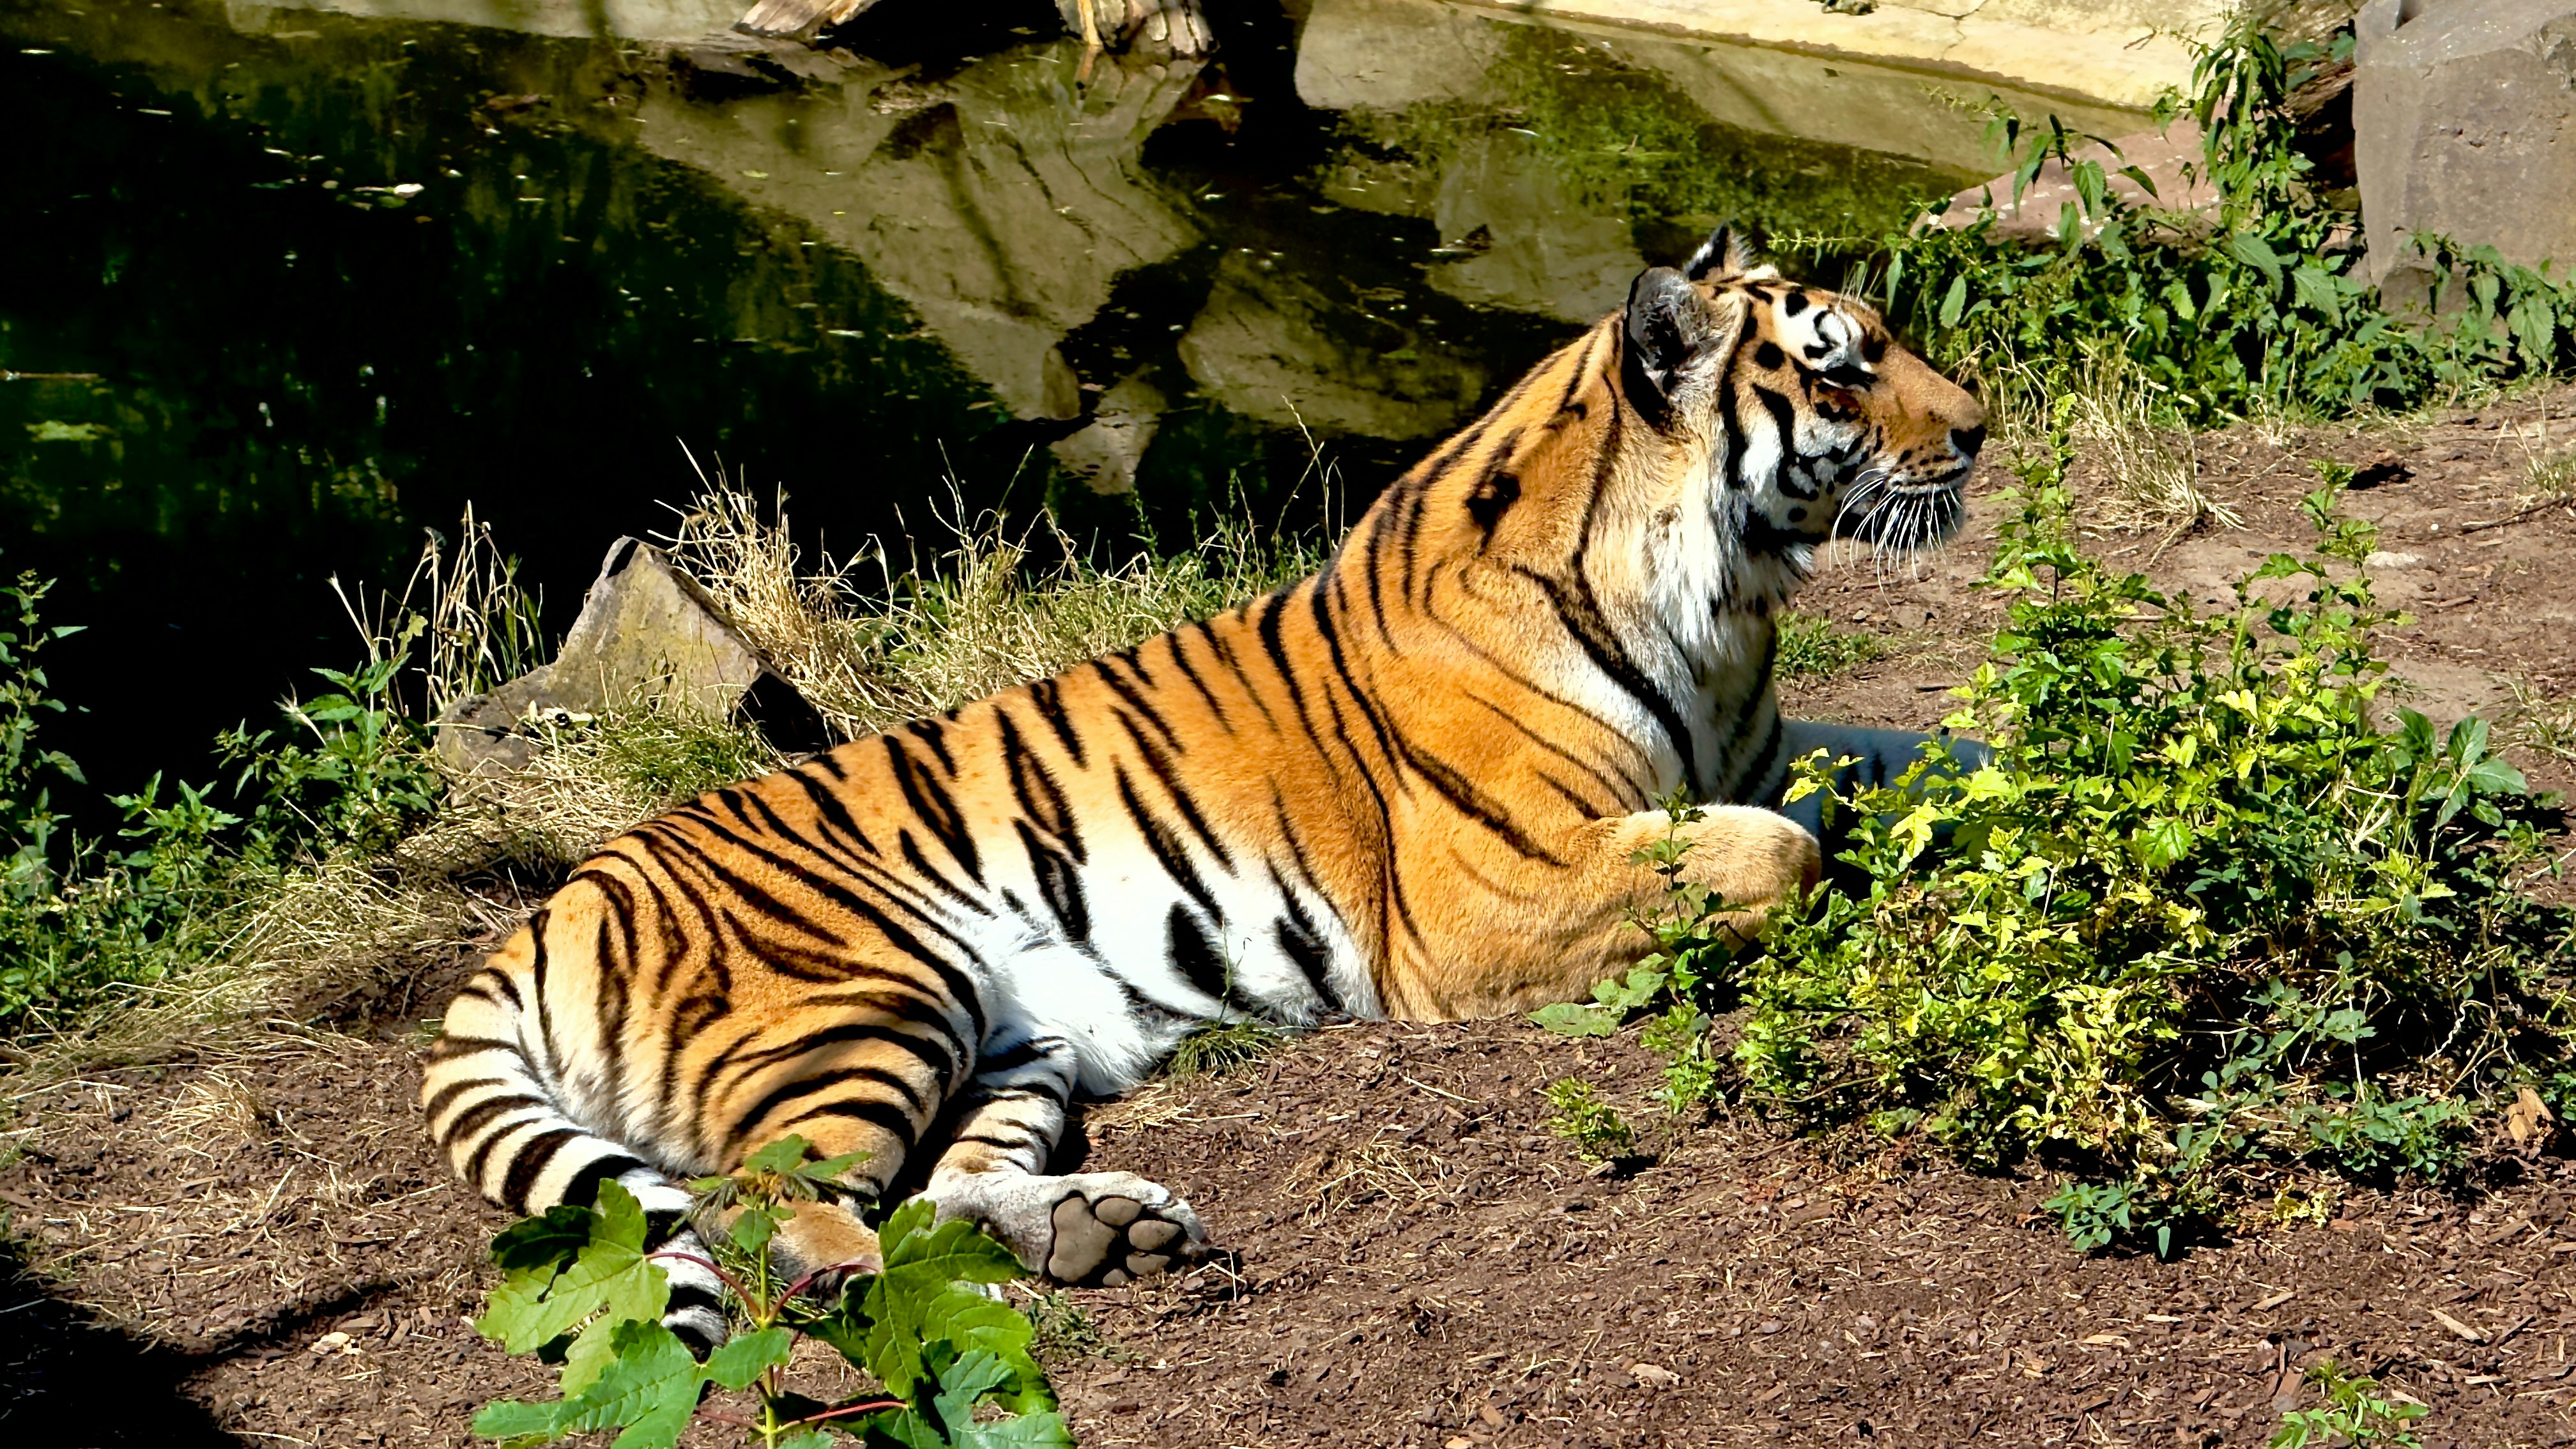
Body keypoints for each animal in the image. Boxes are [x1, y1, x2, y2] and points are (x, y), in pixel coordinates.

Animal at [420, 225, 1986, 1349]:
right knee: (767, 1216)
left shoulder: (1765, 750)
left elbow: (1930, 757)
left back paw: (1097, 1234)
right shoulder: (1482, 895)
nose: (1979, 426)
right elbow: (1776, 856)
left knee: (943, 1181)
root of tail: (551, 905)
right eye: (1839, 370)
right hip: (870, 989)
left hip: (1018, 1035)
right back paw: (939, 1305)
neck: (1721, 600)